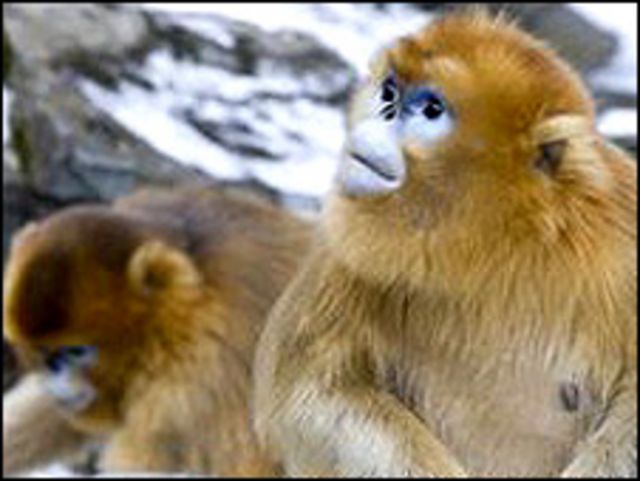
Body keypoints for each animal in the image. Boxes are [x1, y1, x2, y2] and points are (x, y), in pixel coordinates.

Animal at [253, 10, 637, 478]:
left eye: (431, 109)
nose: (384, 113)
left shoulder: (623, 239)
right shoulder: (346, 255)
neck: (500, 245)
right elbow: (310, 392)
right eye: (389, 91)